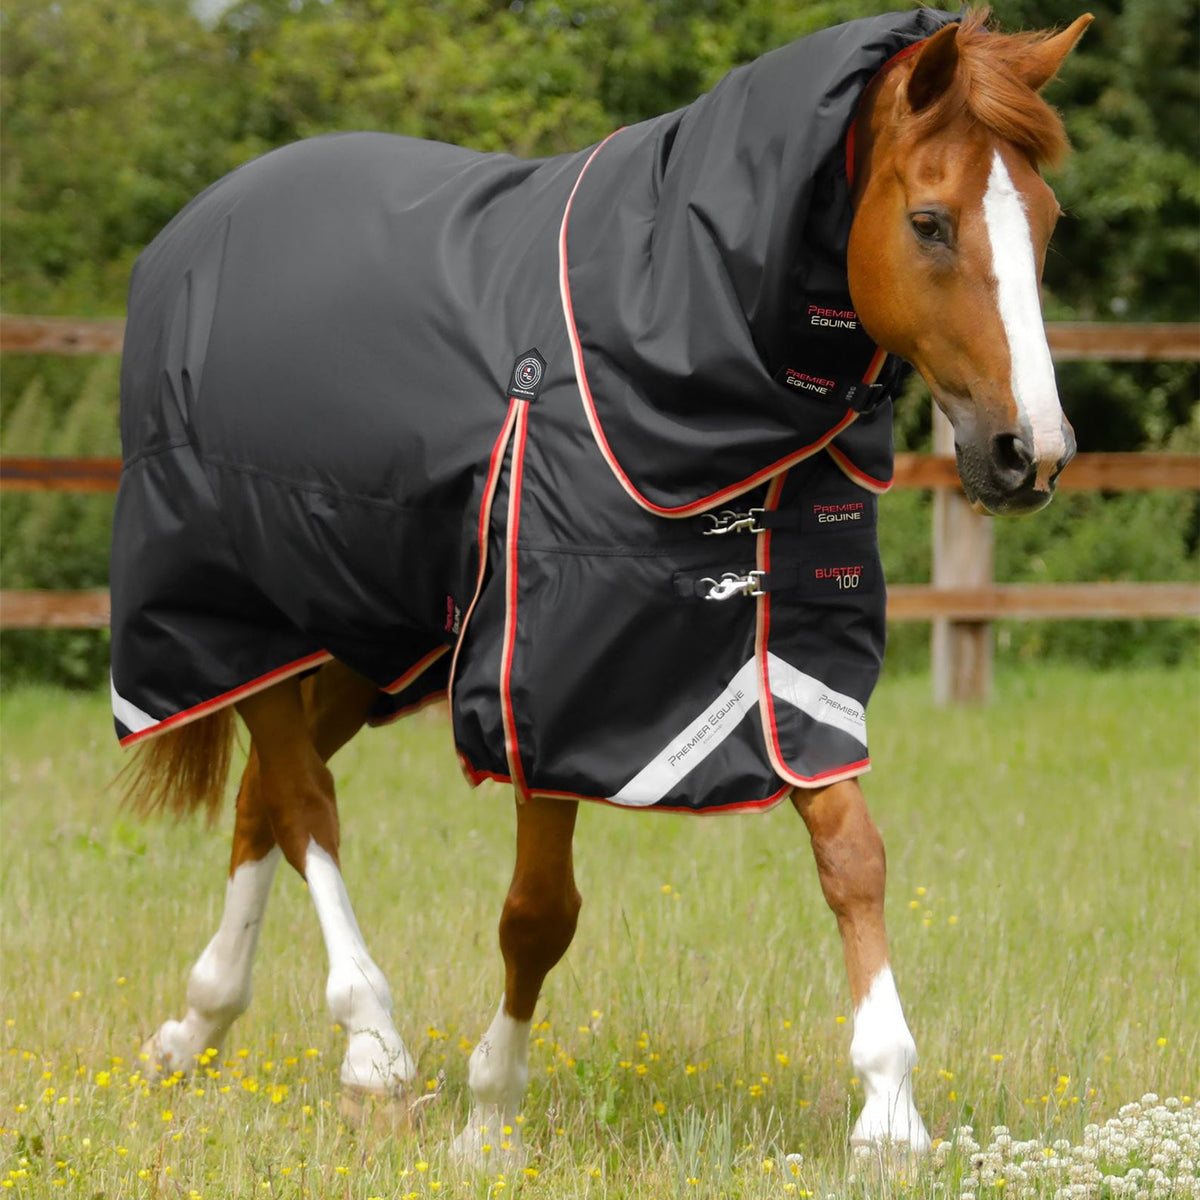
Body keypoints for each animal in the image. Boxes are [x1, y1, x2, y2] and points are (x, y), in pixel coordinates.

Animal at [112, 7, 1091, 1161]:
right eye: (932, 223)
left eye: (1047, 221)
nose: (1032, 453)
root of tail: (198, 221)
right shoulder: (545, 676)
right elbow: (540, 909)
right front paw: (490, 1113)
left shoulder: (782, 664)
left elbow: (855, 857)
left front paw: (890, 1111)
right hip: (237, 610)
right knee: (304, 798)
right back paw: (371, 1049)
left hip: (368, 636)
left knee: (264, 797)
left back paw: (196, 1028)